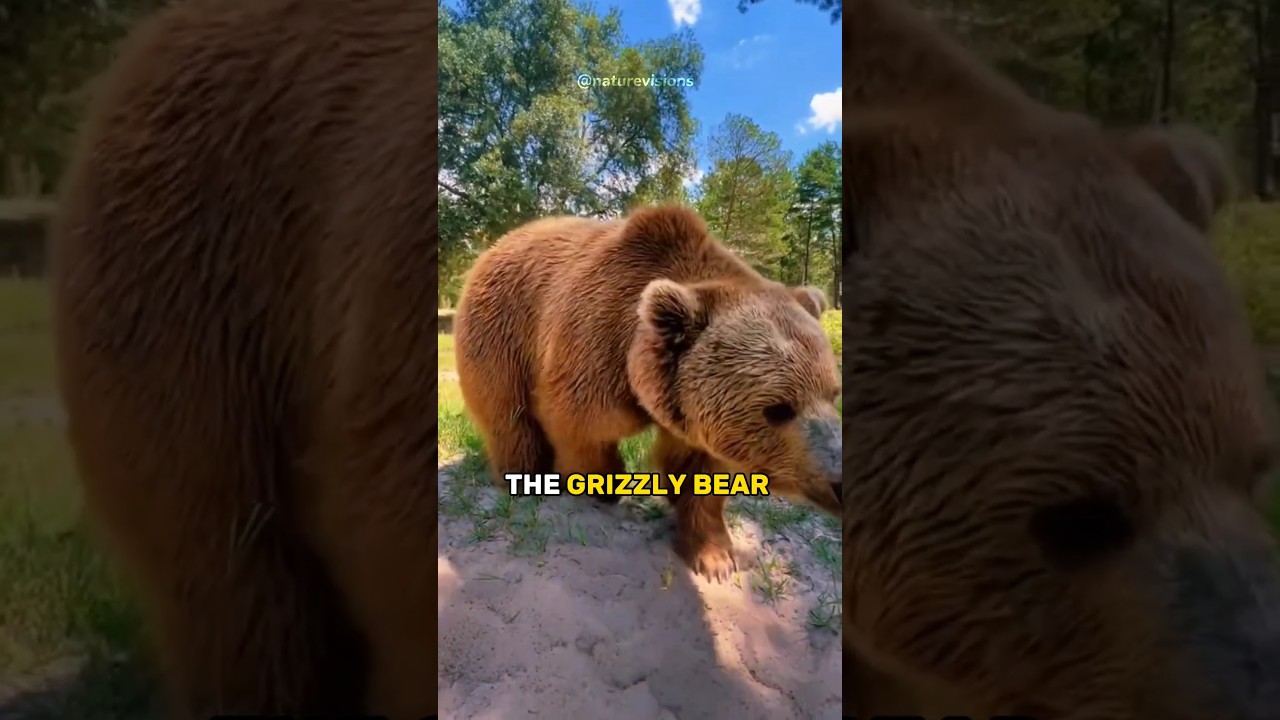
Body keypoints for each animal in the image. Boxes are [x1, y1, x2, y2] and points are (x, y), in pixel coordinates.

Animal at [453, 205, 842, 581]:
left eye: (833, 393)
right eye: (779, 408)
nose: (839, 480)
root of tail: (496, 245)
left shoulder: (693, 410)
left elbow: (700, 474)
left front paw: (714, 558)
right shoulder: (594, 349)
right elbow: (581, 429)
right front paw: (604, 487)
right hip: (502, 329)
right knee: (509, 416)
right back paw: (524, 476)